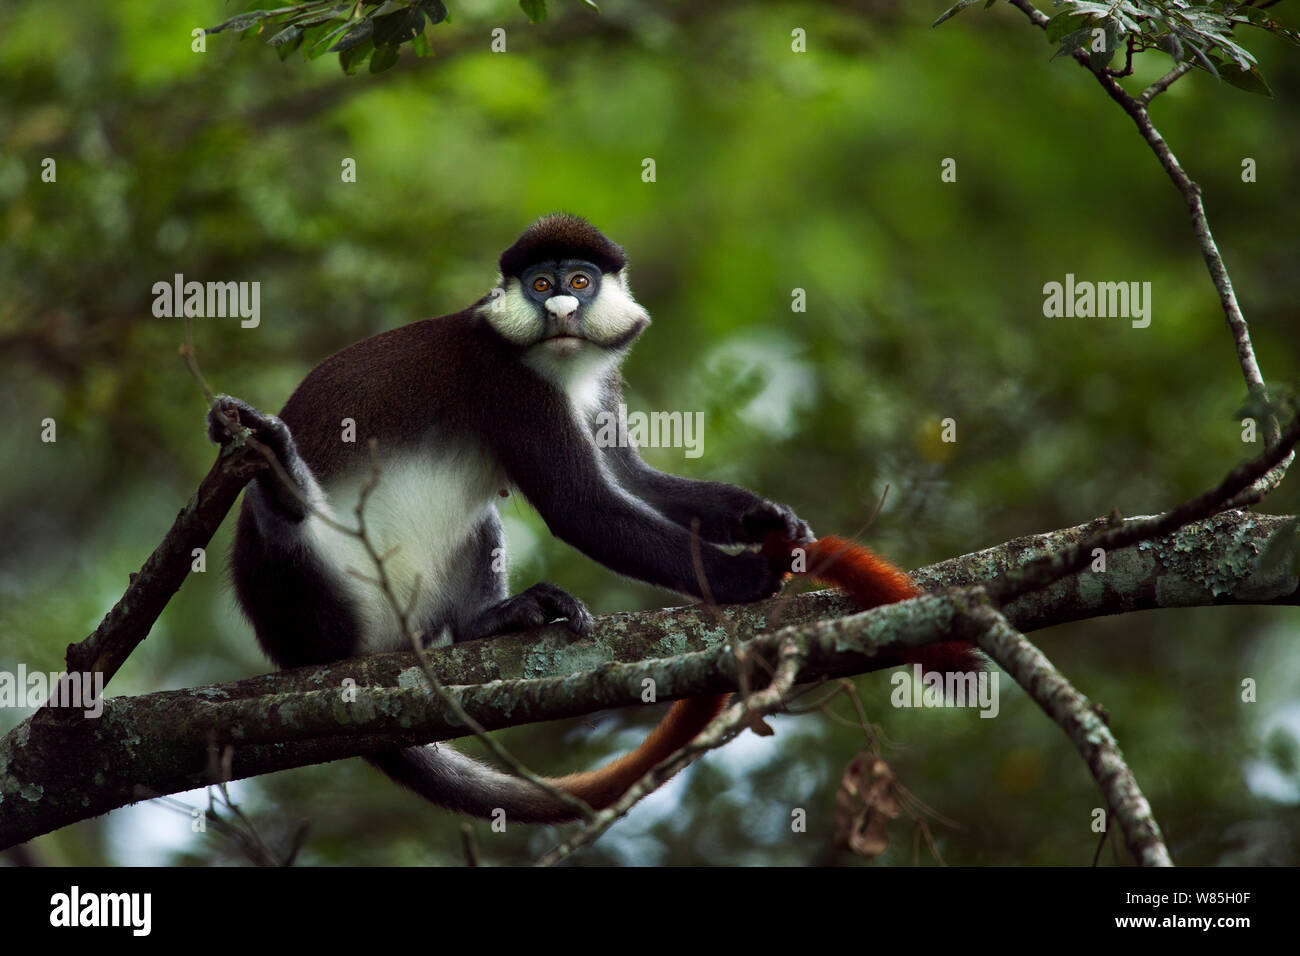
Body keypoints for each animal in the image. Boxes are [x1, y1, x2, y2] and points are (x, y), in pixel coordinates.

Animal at [208, 213, 975, 823]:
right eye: (541, 284)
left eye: (580, 279)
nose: (561, 310)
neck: (556, 364)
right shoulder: (507, 382)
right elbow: (583, 505)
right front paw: (743, 579)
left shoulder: (599, 386)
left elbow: (633, 481)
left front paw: (764, 518)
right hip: (314, 607)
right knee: (278, 525)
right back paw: (281, 483)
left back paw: (492, 621)